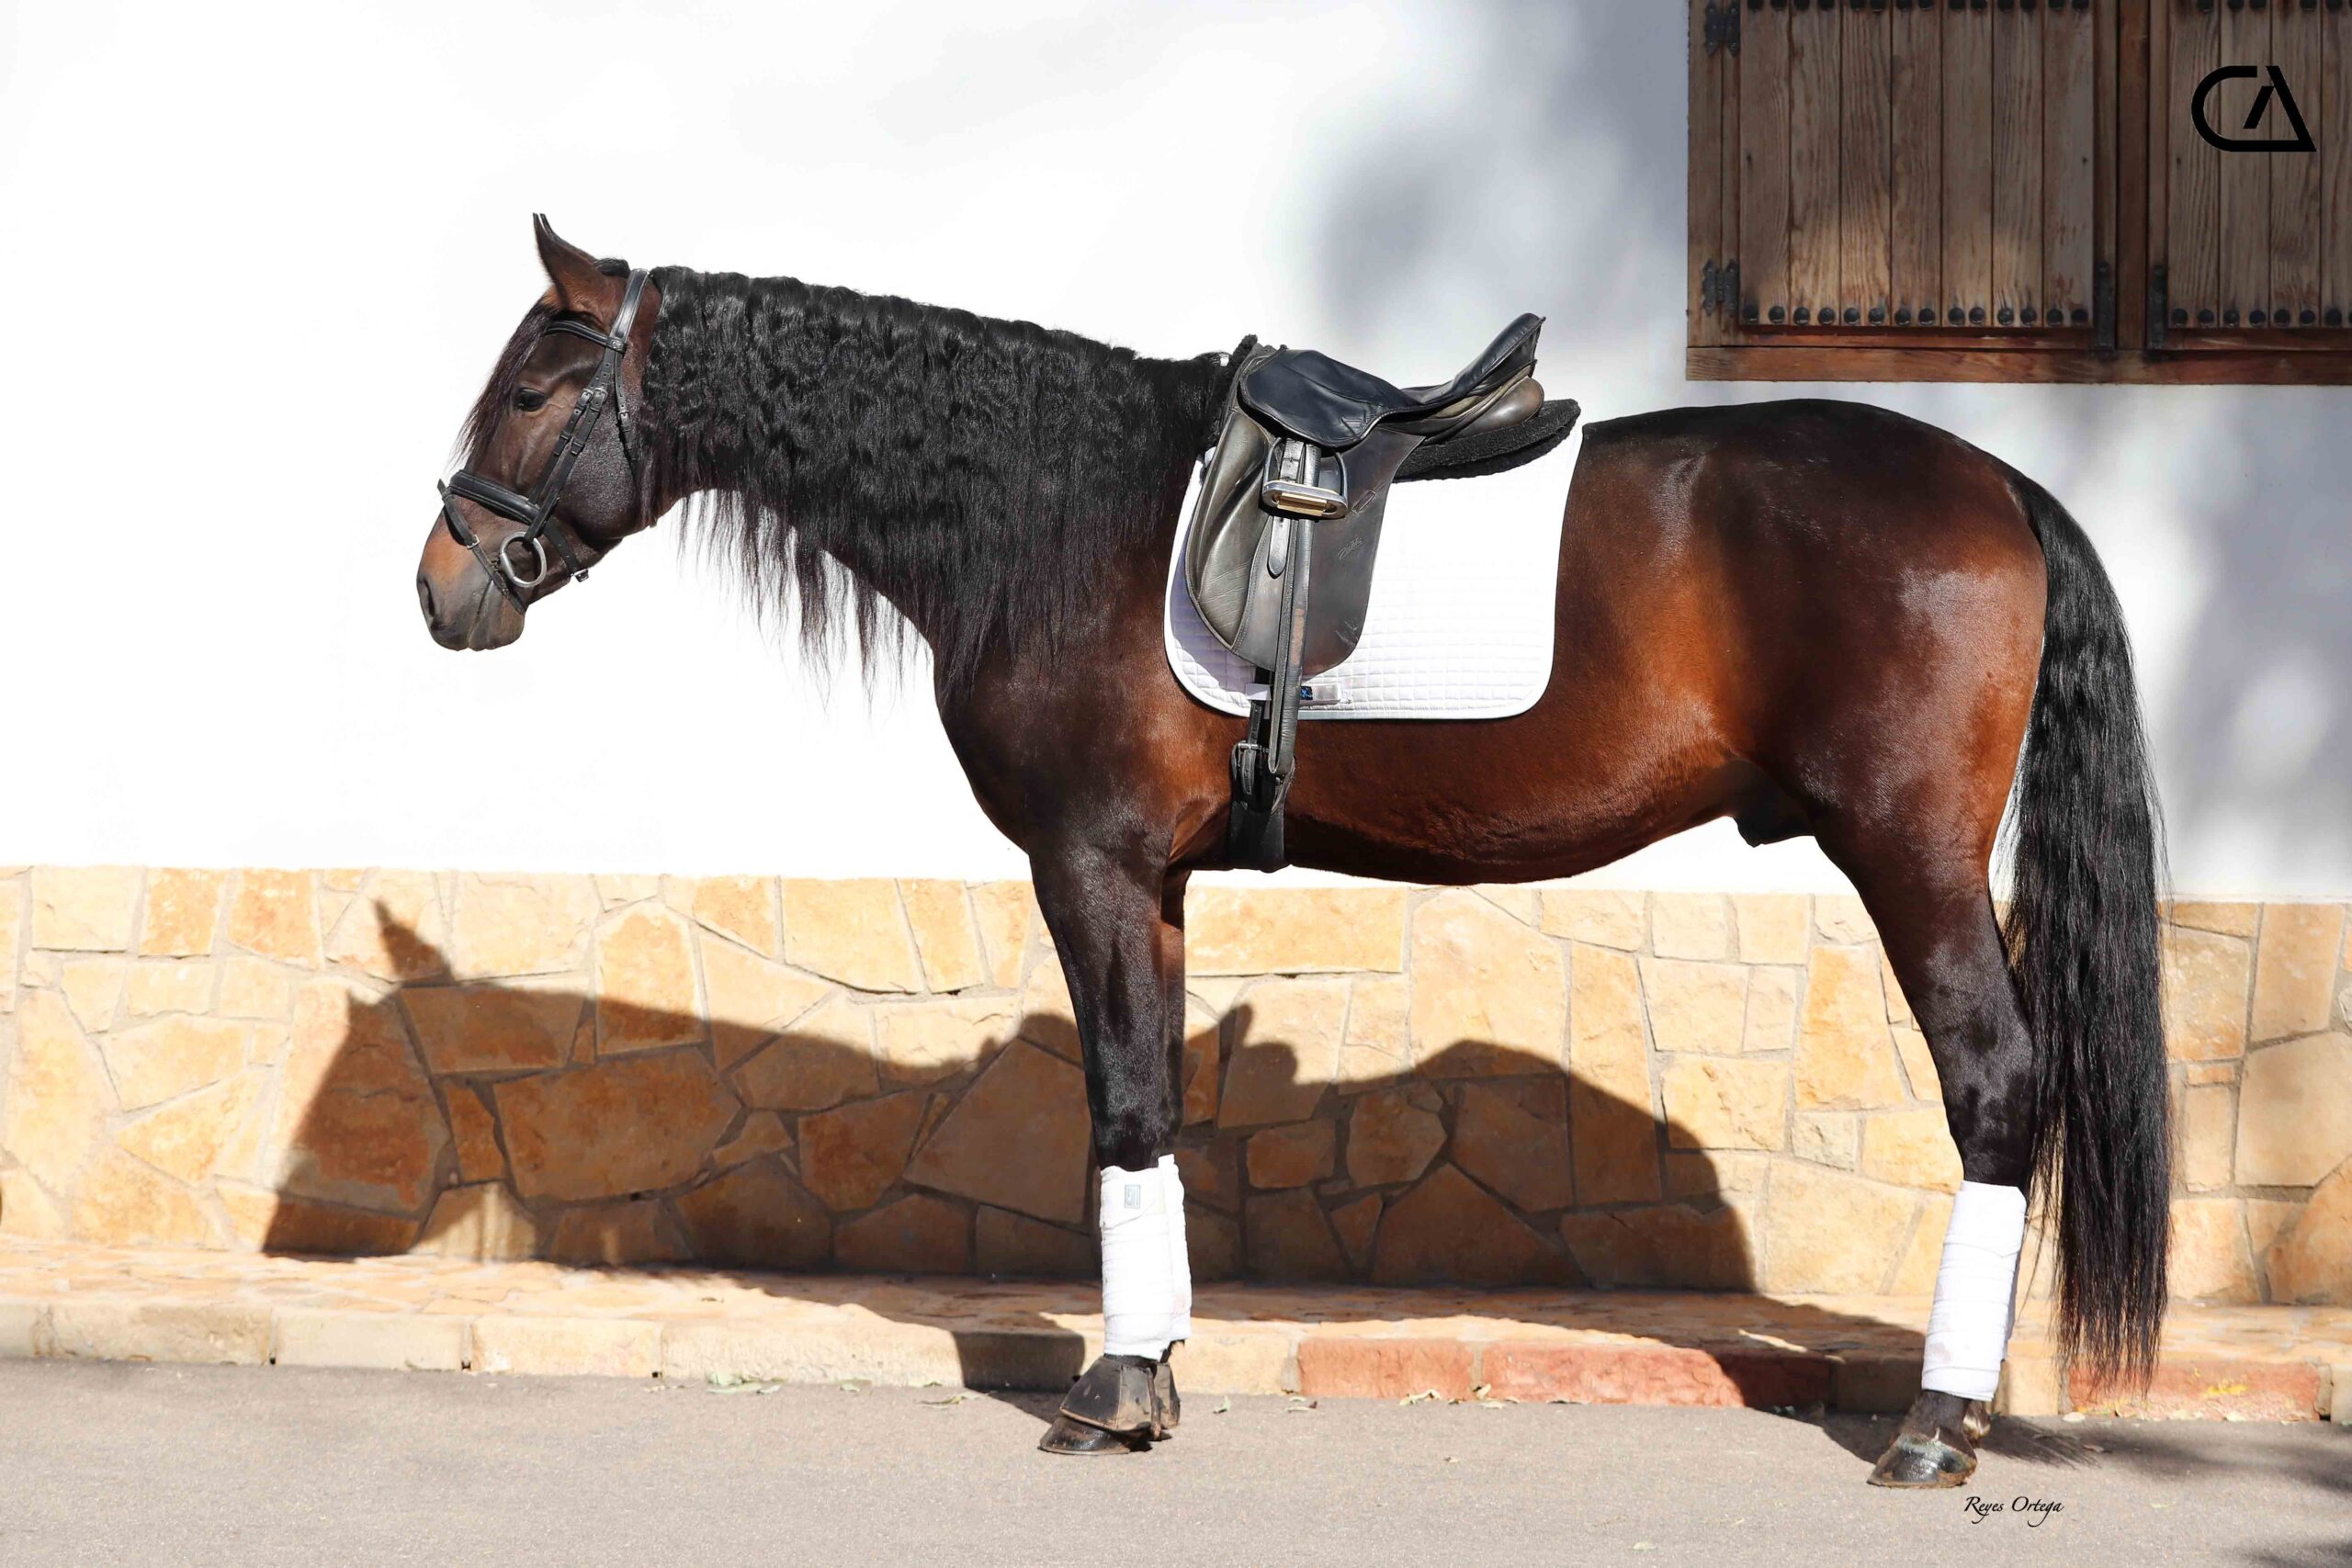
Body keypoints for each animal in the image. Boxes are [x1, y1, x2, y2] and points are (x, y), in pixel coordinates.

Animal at [416, 218, 2169, 1488]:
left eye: (531, 391)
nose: (446, 586)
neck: (1063, 516)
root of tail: (2001, 483)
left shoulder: (1094, 862)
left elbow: (1123, 1103)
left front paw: (1114, 1390)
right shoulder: (1158, 881)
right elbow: (1157, 1106)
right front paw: (1156, 1370)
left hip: (1912, 859)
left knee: (1997, 1090)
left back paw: (1934, 1424)